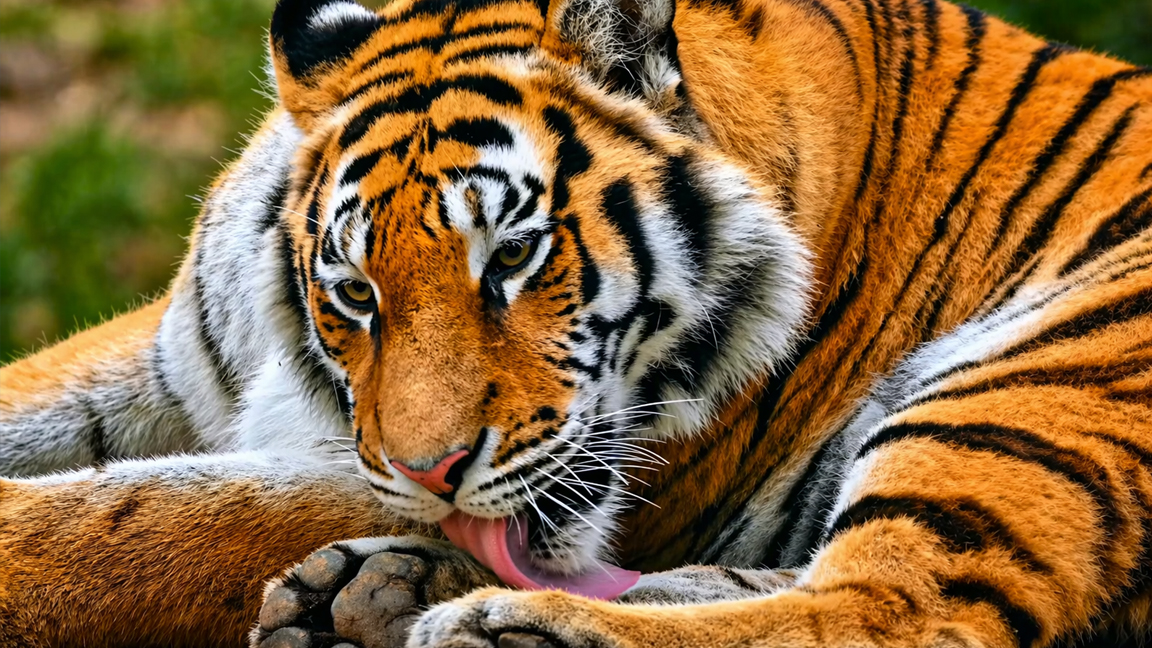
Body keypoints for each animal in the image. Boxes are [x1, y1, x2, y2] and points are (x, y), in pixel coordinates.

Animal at [1, 0, 1150, 646]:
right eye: (356, 292)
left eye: (513, 257)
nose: (432, 470)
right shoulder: (178, 362)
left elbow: (136, 521)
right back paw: (368, 597)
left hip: (1046, 370)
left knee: (904, 612)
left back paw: (500, 628)